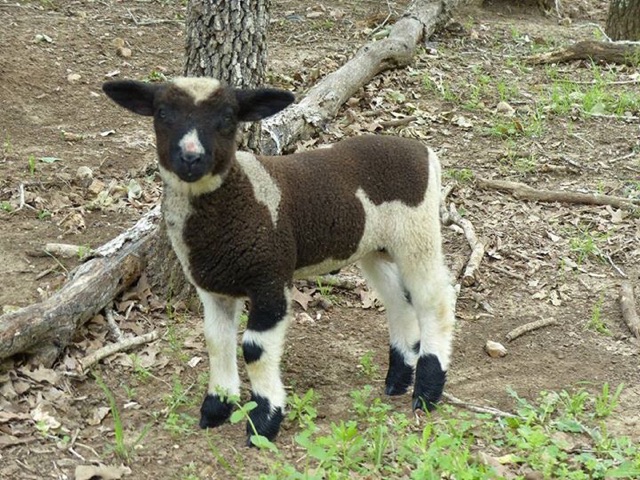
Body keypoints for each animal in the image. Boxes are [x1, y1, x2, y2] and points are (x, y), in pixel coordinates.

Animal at [102, 77, 457, 444]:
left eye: (228, 118)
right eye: (161, 113)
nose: (191, 157)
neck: (236, 197)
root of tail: (424, 152)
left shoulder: (270, 278)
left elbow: (254, 349)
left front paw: (263, 423)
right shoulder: (213, 288)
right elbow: (216, 341)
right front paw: (216, 408)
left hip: (417, 233)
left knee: (435, 301)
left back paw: (427, 391)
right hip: (375, 246)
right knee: (399, 302)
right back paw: (396, 381)